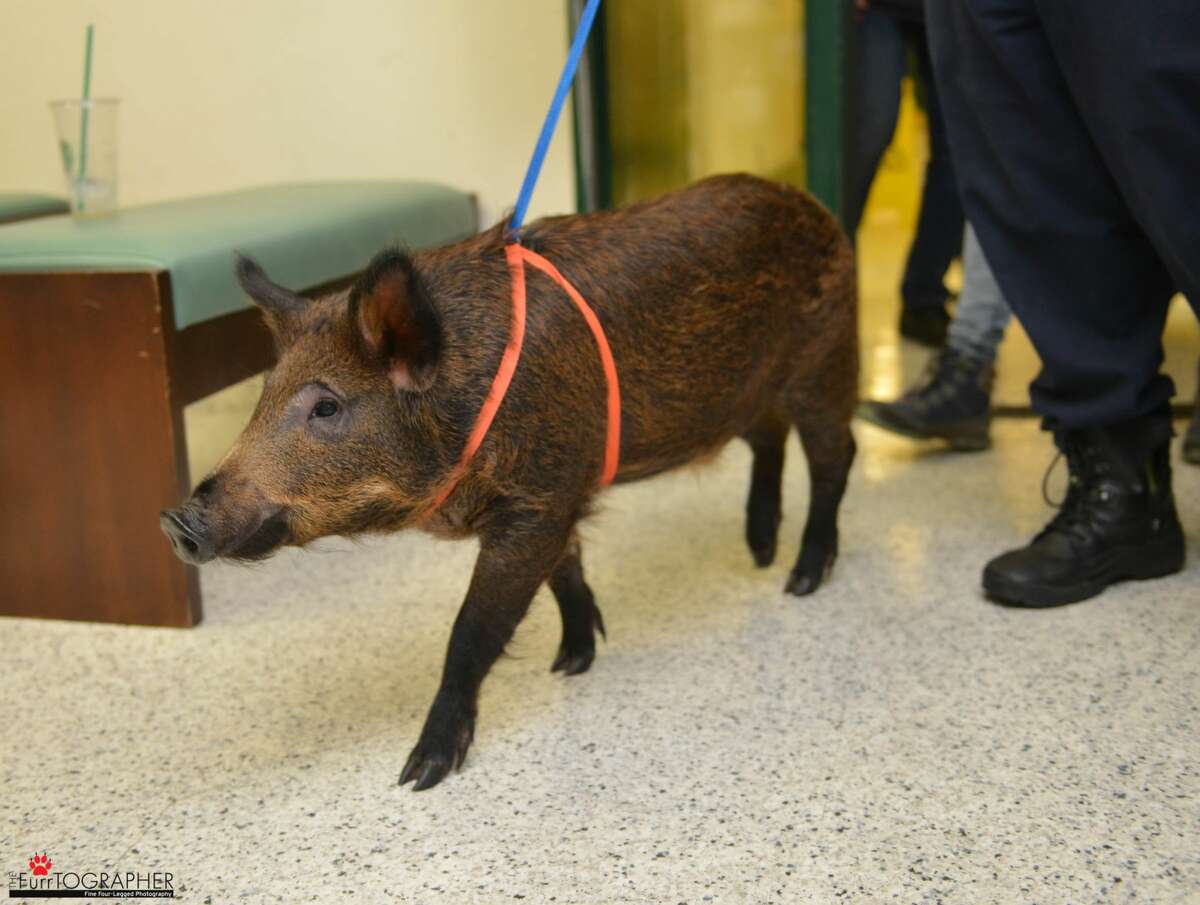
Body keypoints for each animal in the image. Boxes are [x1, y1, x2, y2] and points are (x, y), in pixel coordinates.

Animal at [161, 173, 857, 790]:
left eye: (326, 406)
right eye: (264, 394)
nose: (176, 520)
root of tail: (814, 206)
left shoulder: (538, 501)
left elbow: (472, 629)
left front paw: (420, 774)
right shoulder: (555, 499)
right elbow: (565, 570)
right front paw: (572, 663)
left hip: (825, 362)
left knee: (836, 457)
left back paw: (800, 580)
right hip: (750, 395)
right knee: (769, 439)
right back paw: (759, 552)